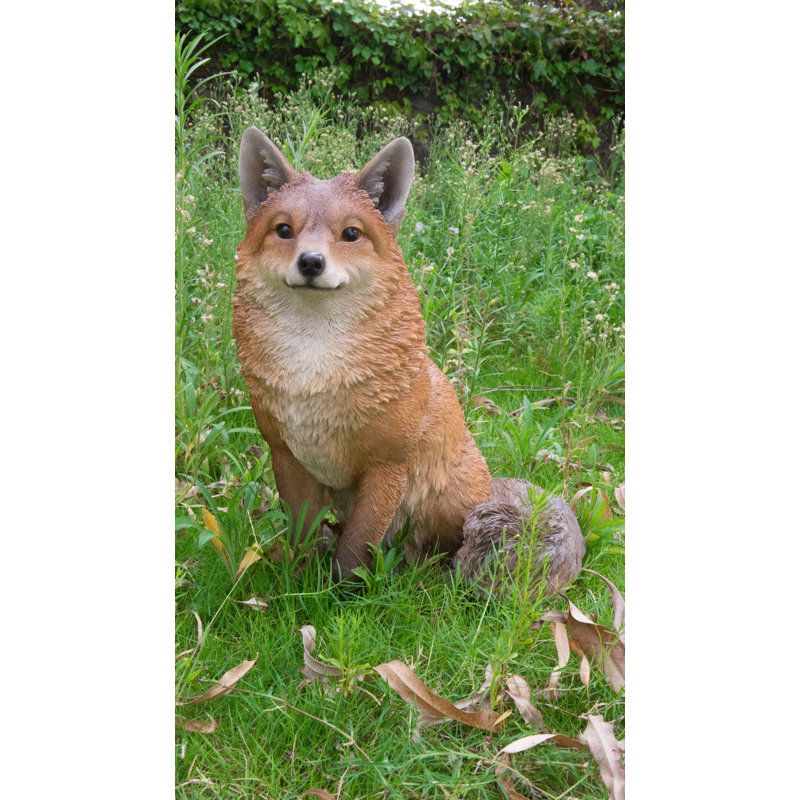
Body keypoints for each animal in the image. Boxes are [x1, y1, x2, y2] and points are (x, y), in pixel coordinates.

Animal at [233, 127, 584, 586]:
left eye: (350, 234)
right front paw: (297, 583)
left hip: (444, 507)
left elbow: (356, 547)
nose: (310, 262)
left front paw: (339, 595)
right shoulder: (287, 456)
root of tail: (490, 485)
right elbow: (302, 536)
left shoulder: (388, 465)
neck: (313, 374)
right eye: (284, 230)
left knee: (431, 552)